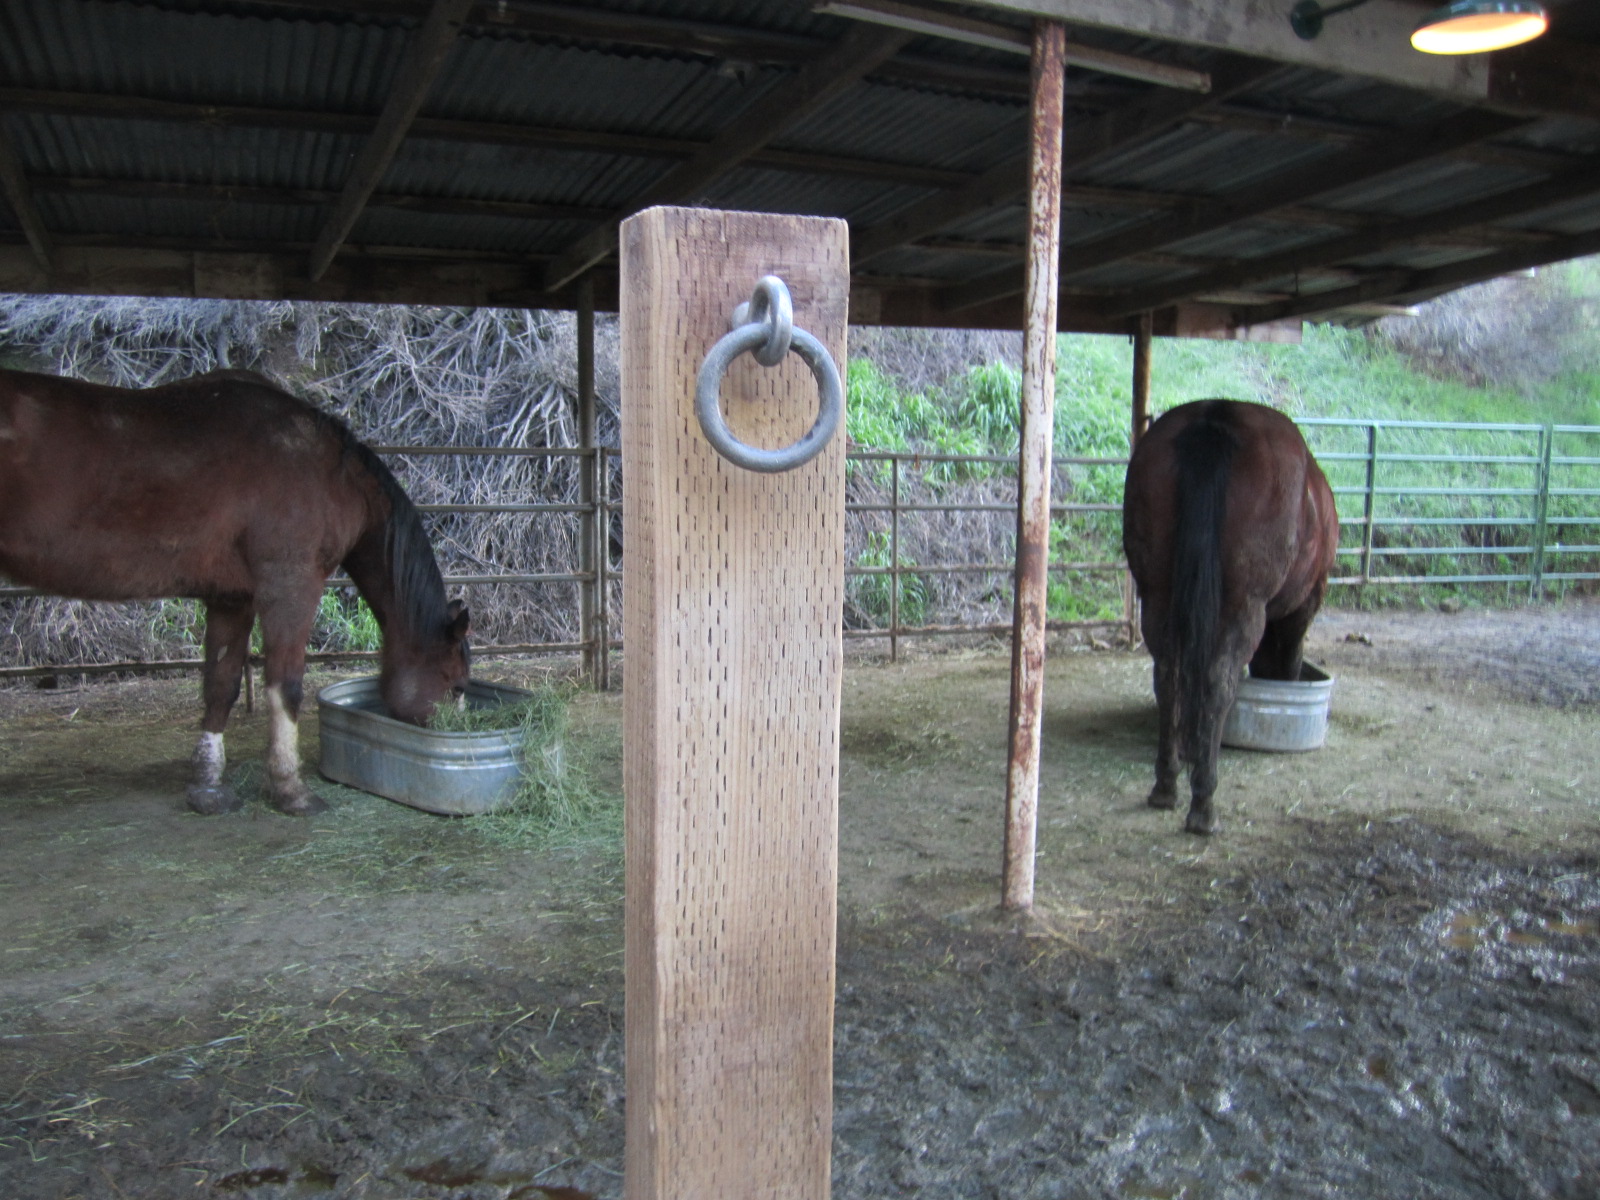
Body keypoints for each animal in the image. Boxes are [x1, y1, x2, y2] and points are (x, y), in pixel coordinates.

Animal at [0, 368, 471, 816]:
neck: (330, 473)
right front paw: (290, 789)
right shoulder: (290, 587)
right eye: (457, 685)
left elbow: (221, 684)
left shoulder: (232, 599)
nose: (457, 732)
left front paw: (208, 788)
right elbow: (286, 685)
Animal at [1122, 399, 1338, 836]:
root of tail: (1216, 417)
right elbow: (1292, 650)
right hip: (1244, 606)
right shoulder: (1306, 601)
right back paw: (1203, 804)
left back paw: (1166, 784)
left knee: (1168, 677)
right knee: (1218, 681)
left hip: (1158, 596)